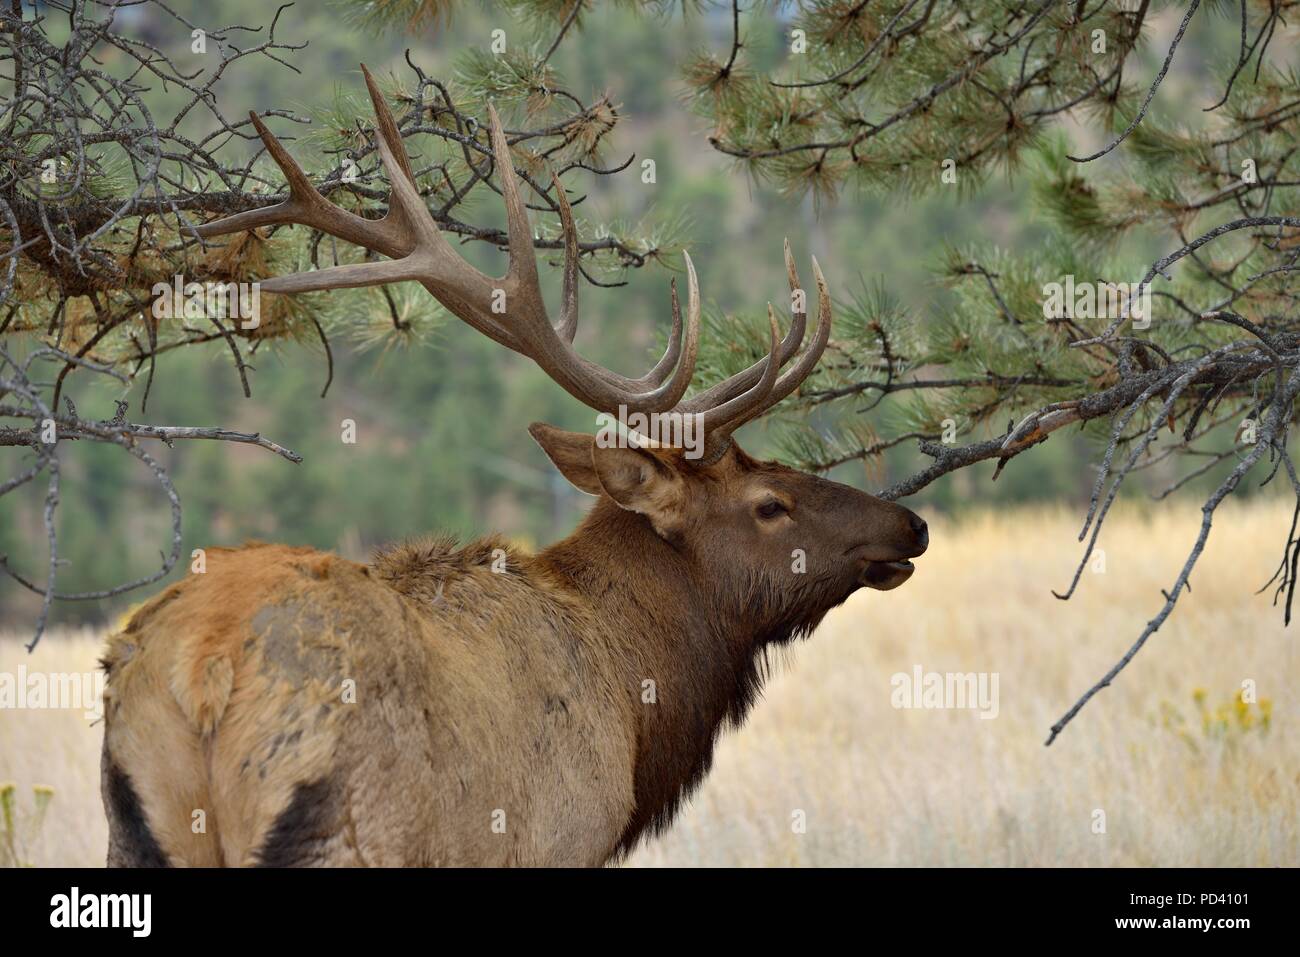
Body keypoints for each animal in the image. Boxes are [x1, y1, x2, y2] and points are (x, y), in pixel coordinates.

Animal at [99, 66, 929, 867]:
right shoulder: (562, 835)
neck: (633, 693)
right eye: (769, 502)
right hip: (345, 827)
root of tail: (203, 672)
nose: (912, 523)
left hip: (135, 832)